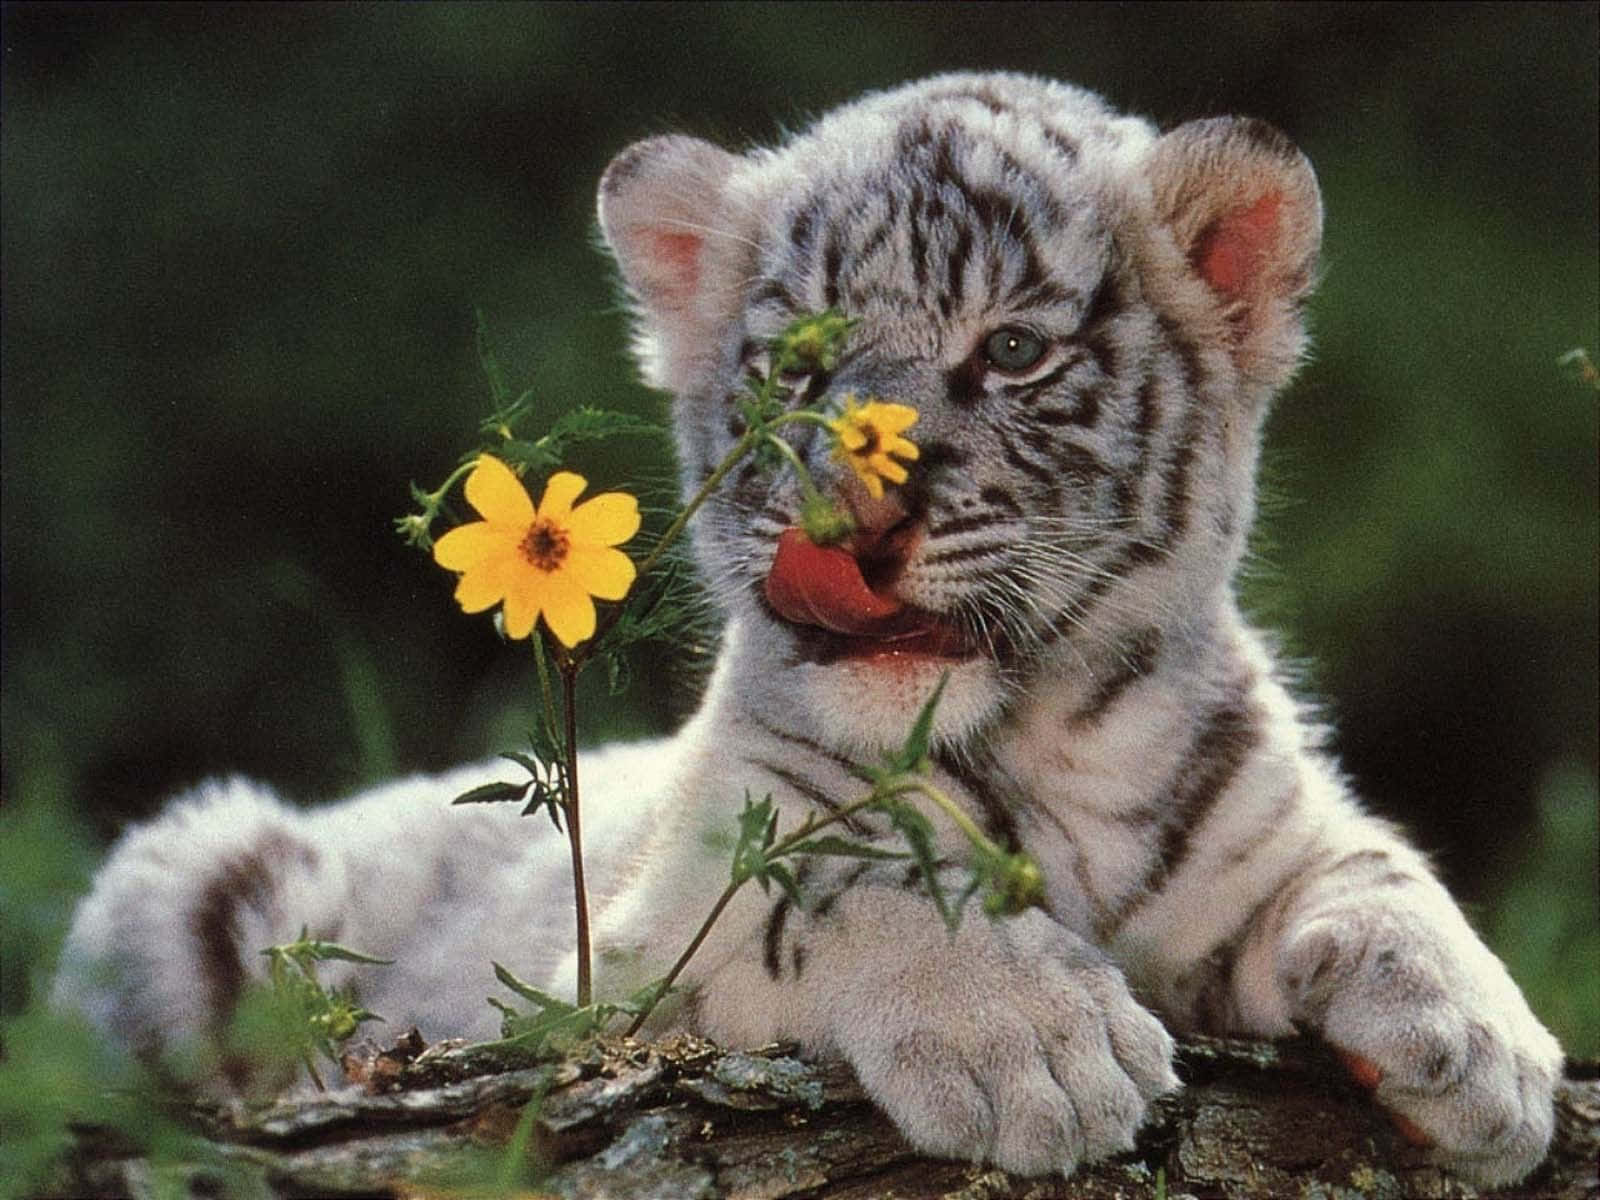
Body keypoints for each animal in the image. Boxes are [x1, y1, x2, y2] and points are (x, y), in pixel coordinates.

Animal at [53, 72, 1562, 1186]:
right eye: (796, 369)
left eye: (1012, 352)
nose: (854, 525)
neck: (1053, 751)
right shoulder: (639, 947)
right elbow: (846, 889)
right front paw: (1041, 1049)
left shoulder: (1263, 832)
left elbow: (1381, 872)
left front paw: (1487, 1052)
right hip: (185, 871)